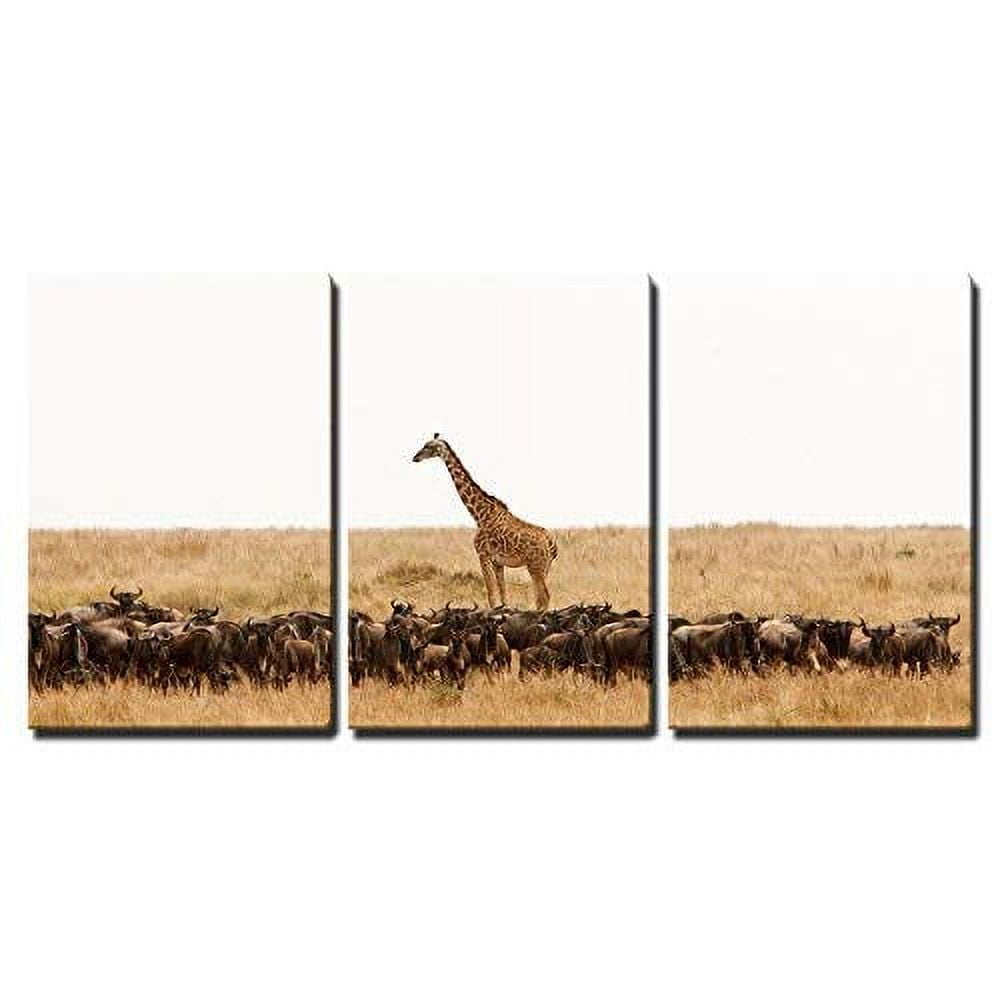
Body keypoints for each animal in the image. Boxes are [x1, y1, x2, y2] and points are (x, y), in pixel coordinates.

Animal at [412, 434, 558, 610]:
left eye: (428, 446)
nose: (415, 457)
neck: (480, 515)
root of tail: (551, 543)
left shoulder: (483, 556)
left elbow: (491, 595)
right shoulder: (498, 562)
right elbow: (503, 595)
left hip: (536, 566)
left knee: (544, 597)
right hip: (544, 567)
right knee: (540, 598)